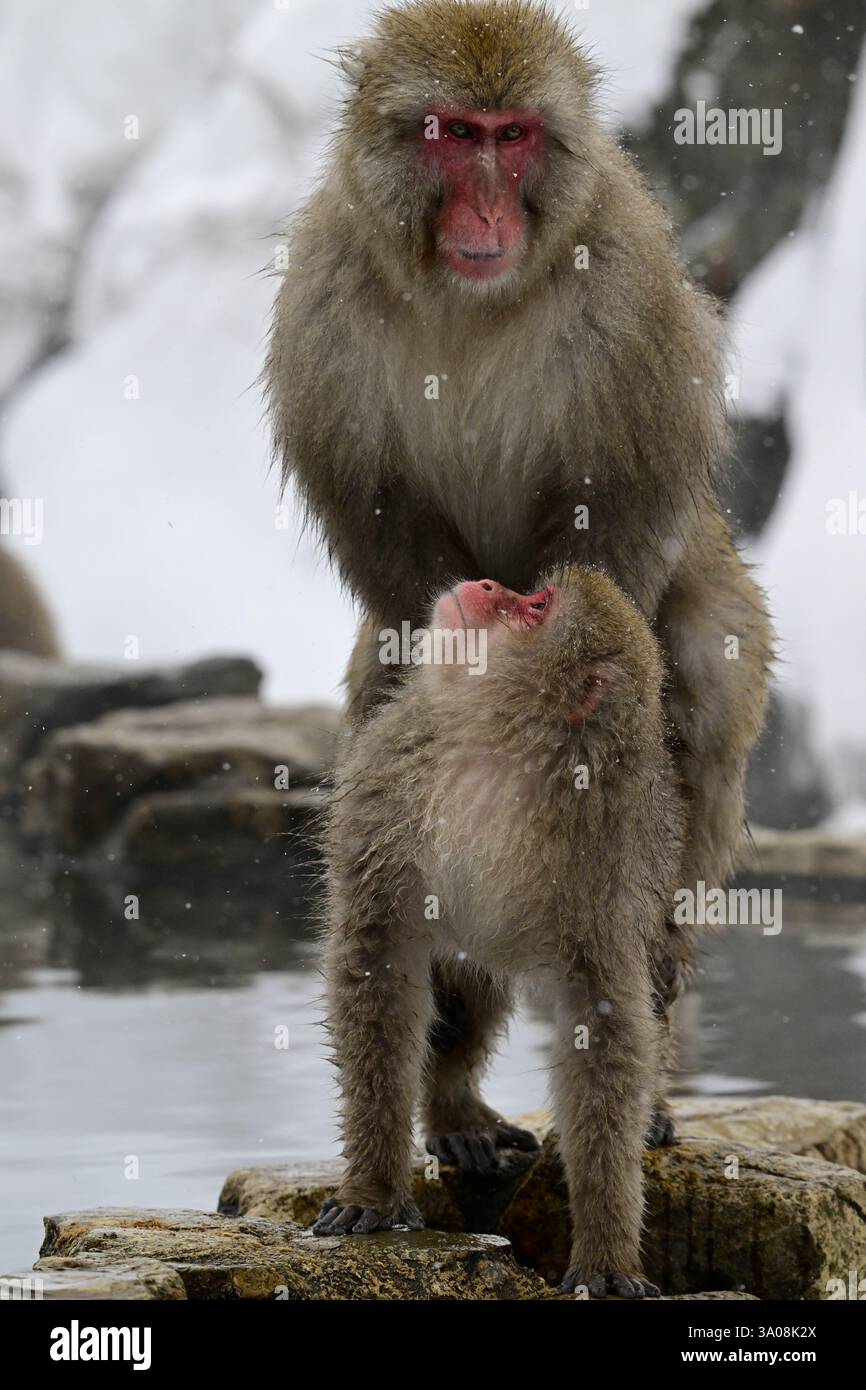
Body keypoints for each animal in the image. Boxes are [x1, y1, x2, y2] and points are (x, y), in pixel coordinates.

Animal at [266, 0, 774, 1152]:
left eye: (515, 137)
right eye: (455, 133)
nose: (490, 206)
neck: (469, 298)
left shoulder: (628, 286)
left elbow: (619, 525)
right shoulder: (322, 291)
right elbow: (384, 533)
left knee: (700, 679)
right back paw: (451, 1099)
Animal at [314, 565, 684, 1296]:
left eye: (535, 605)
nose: (487, 582)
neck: (497, 748)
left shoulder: (603, 857)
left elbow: (604, 1028)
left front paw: (606, 1250)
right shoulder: (384, 784)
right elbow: (378, 960)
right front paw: (374, 1190)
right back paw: (457, 1115)